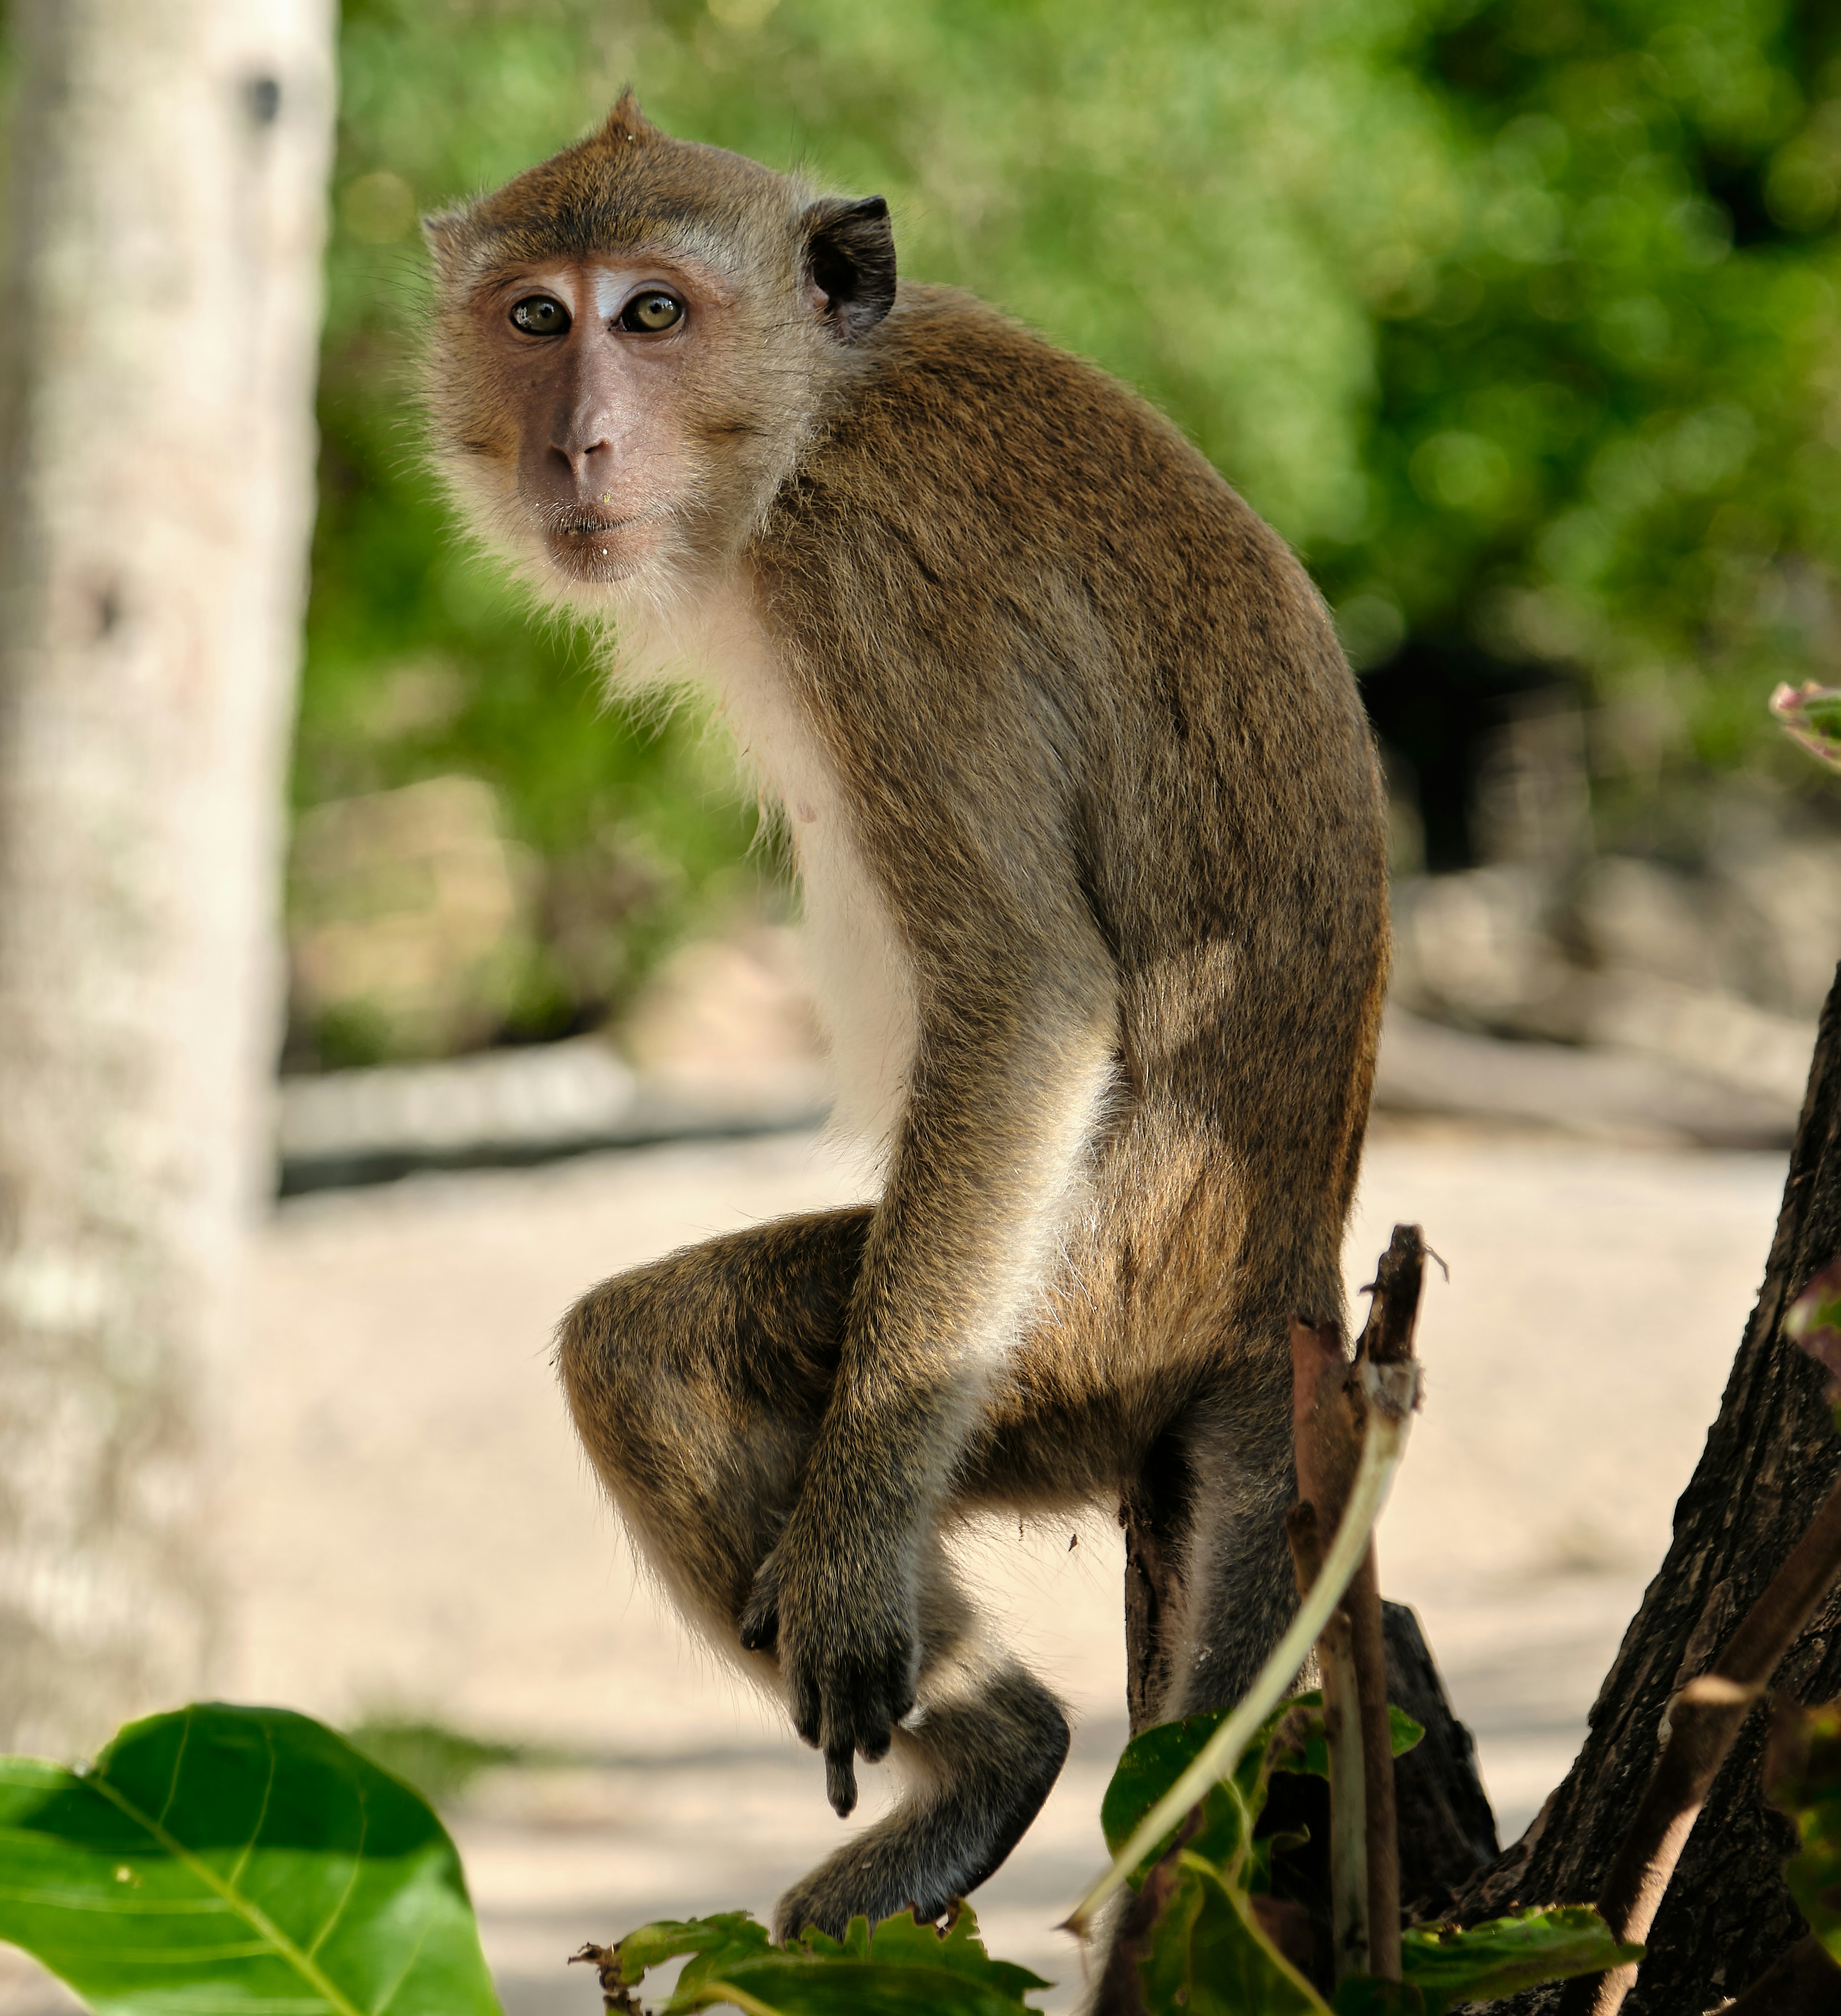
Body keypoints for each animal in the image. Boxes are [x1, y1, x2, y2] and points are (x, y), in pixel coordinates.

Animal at [422, 94, 1389, 1942]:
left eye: (654, 312)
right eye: (536, 317)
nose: (576, 445)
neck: (818, 416)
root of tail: (1286, 1285)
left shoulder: (875, 595)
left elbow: (1023, 994)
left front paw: (854, 1561)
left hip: (1066, 1332)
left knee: (646, 1345)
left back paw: (988, 1745)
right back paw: (1002, 1748)